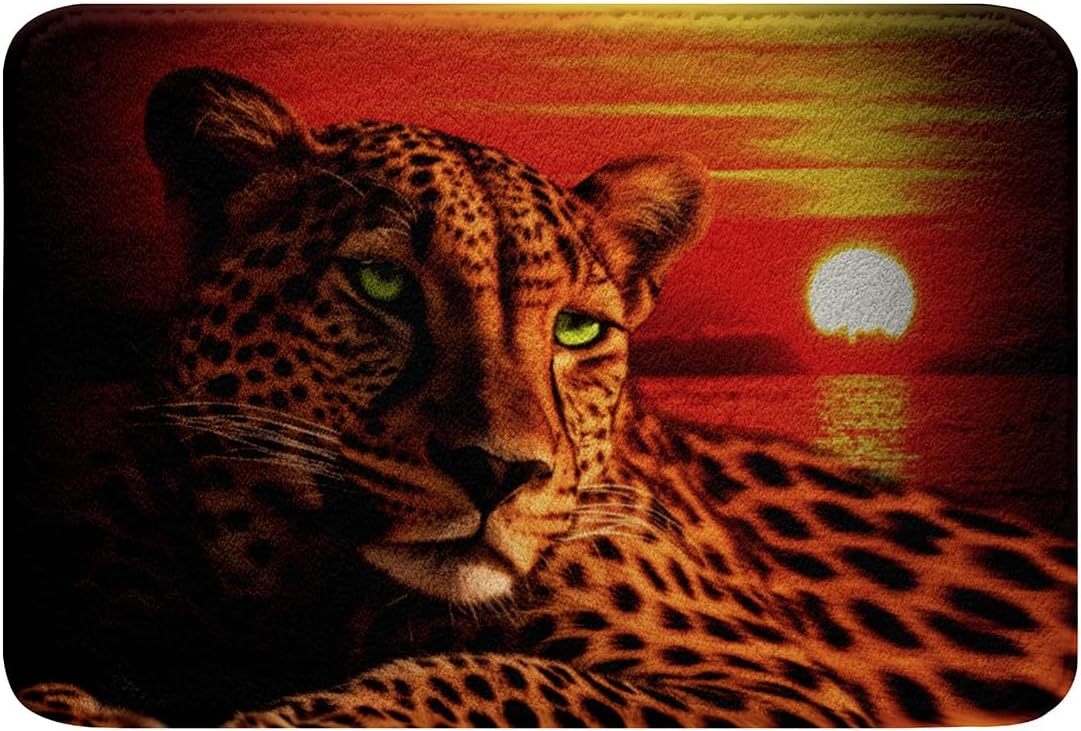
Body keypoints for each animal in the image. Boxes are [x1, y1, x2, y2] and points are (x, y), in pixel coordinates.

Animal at [13, 67, 1076, 727]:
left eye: (575, 330)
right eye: (382, 284)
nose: (499, 472)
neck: (294, 587)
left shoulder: (775, 684)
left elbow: (487, 673)